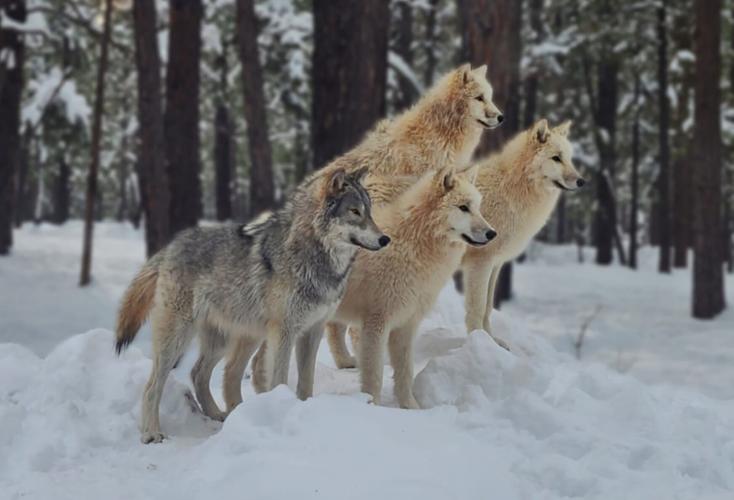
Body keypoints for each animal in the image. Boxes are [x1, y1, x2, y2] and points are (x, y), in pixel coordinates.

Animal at [114, 168, 388, 443]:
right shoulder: (284, 332)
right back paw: (151, 433)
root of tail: (170, 246)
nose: (385, 239)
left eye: (370, 211)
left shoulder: (313, 330)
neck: (314, 258)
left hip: (232, 339)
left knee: (199, 373)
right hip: (178, 339)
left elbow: (306, 381)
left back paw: (219, 414)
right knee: (153, 386)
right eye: (354, 212)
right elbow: (278, 378)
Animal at [225, 165, 495, 408]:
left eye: (478, 207)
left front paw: (412, 408)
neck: (412, 244)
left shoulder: (406, 326)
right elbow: (374, 376)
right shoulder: (375, 325)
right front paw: (373, 408)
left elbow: (405, 374)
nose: (492, 233)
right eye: (463, 207)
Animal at [462, 119, 584, 341]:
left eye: (569, 158)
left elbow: (488, 307)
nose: (582, 181)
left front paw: (492, 341)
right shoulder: (480, 262)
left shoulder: (495, 263)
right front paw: (479, 341)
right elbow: (477, 308)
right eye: (556, 158)